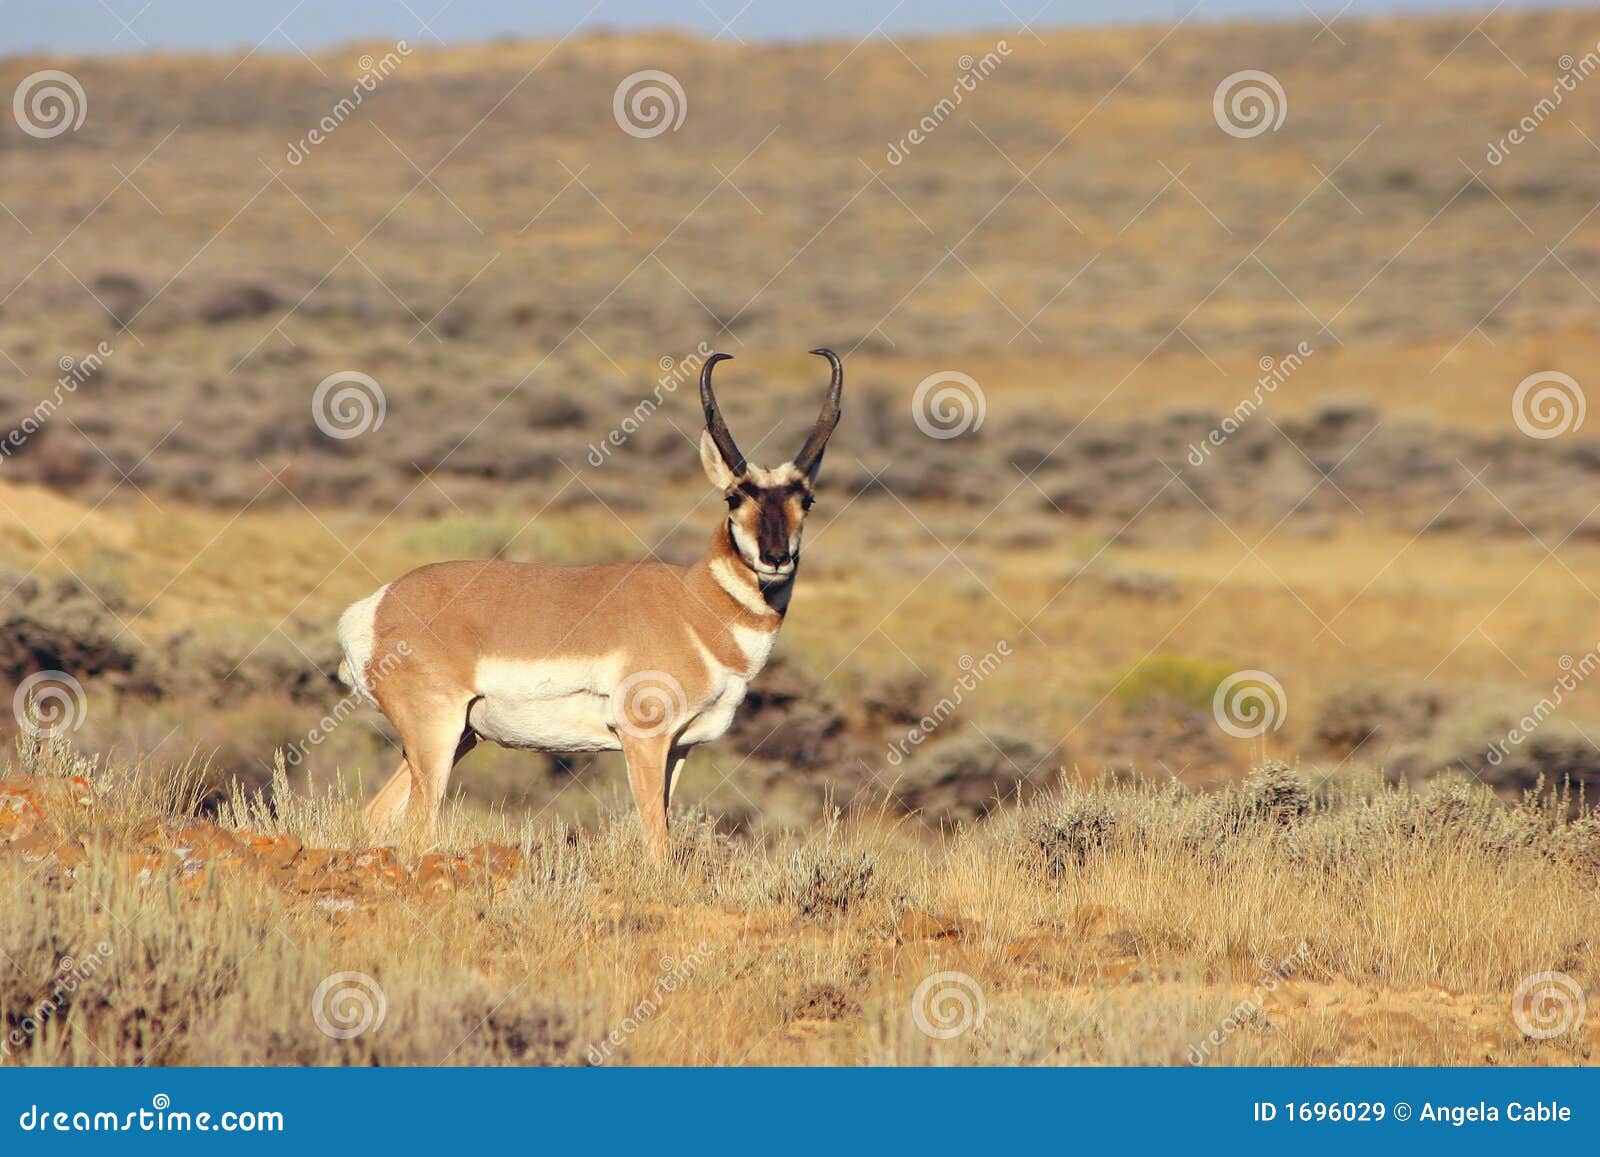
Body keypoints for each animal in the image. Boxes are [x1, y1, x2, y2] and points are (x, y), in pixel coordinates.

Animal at [335, 349, 843, 860]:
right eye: (734, 496)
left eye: (808, 499)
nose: (775, 558)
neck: (692, 604)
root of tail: (374, 605)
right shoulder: (644, 742)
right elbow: (656, 842)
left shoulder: (679, 749)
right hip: (436, 736)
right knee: (418, 828)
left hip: (461, 737)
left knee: (376, 814)